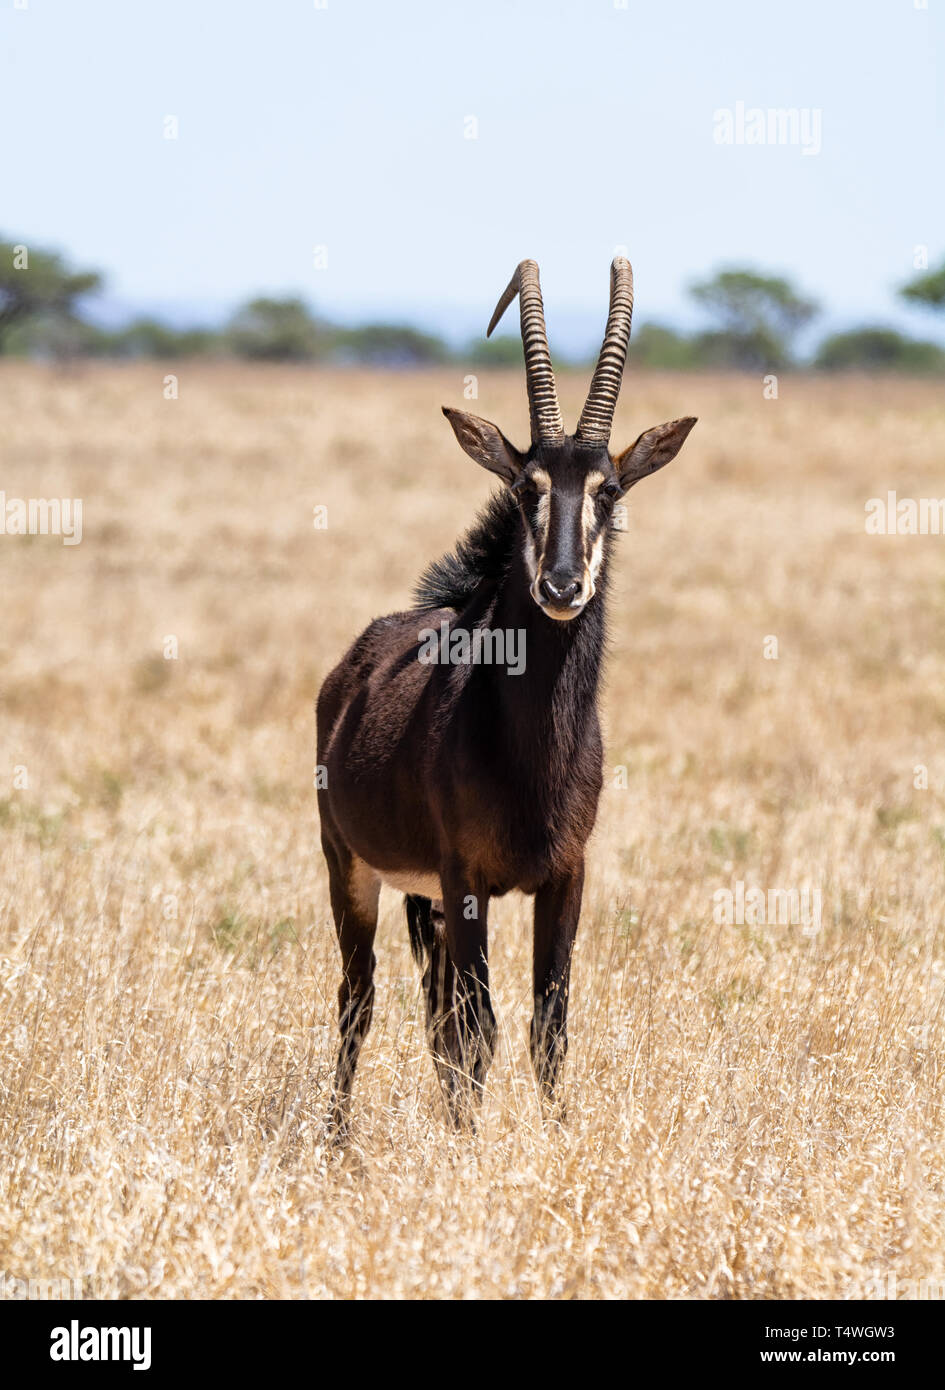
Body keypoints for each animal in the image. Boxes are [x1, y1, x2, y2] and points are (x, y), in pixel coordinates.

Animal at [316, 258, 696, 1132]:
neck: (532, 747)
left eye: (608, 490)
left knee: (428, 1009)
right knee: (361, 998)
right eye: (526, 488)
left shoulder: (565, 876)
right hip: (350, 868)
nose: (560, 585)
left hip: (420, 898)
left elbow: (546, 1025)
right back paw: (337, 1137)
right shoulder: (467, 881)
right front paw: (470, 1144)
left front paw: (553, 1138)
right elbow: (477, 1028)